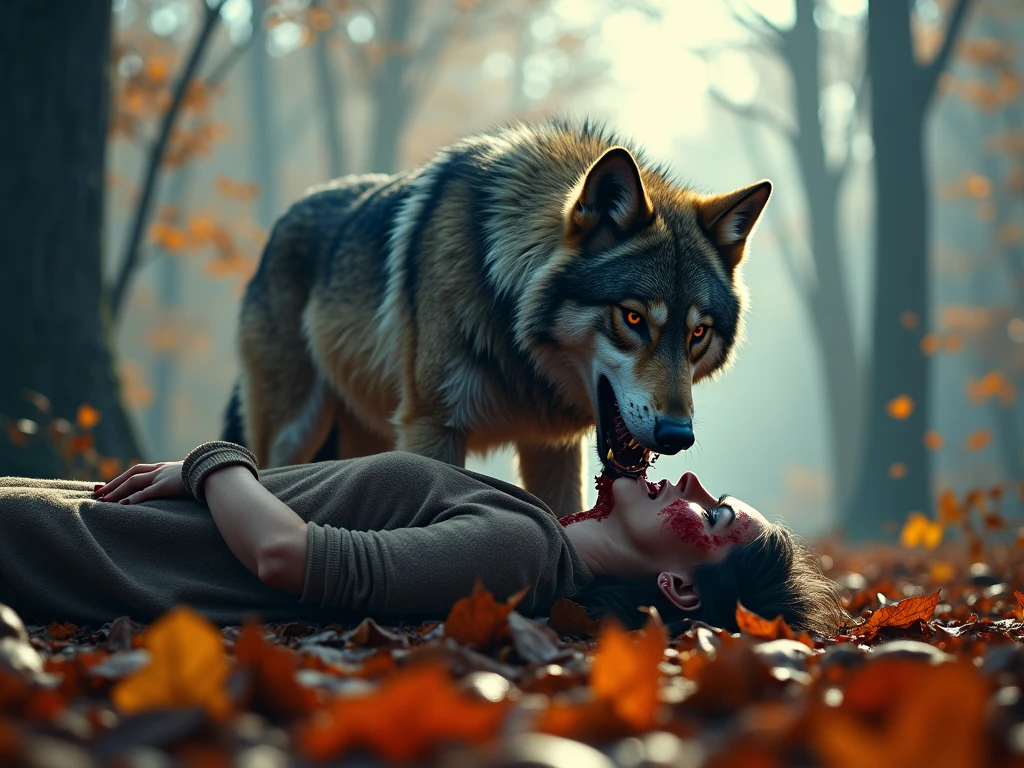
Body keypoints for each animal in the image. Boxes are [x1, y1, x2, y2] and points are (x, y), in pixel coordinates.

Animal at [223, 120, 771, 516]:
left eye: (697, 332)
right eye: (633, 319)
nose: (678, 436)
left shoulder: (551, 444)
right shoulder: (432, 425)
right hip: (294, 431)